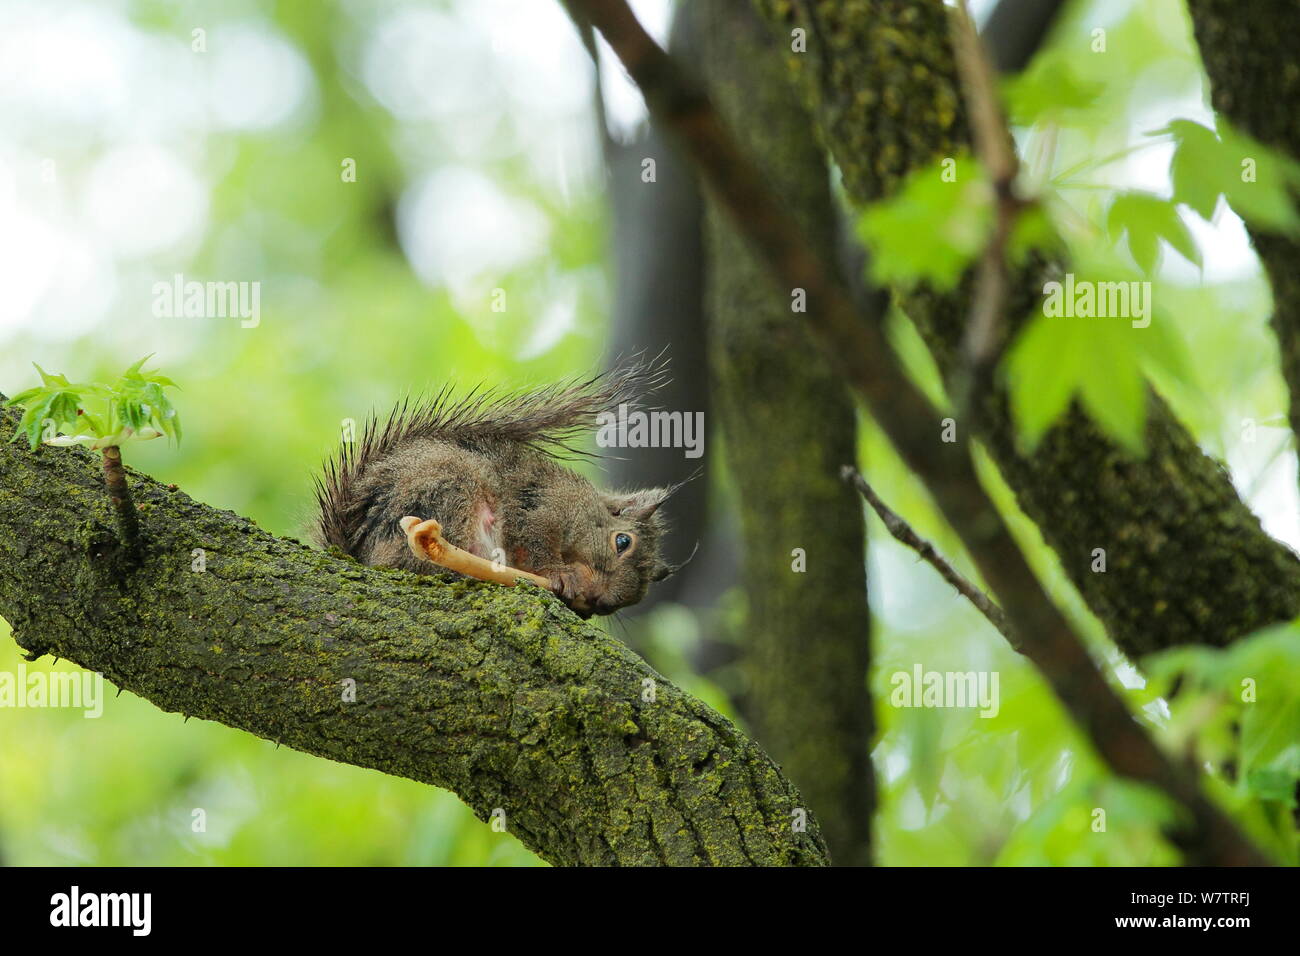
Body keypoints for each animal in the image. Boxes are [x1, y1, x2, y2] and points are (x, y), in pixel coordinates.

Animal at [312, 363, 686, 618]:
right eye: (622, 542)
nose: (601, 602)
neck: (586, 507)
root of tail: (360, 550)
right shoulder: (544, 506)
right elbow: (535, 541)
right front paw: (558, 574)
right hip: (447, 491)